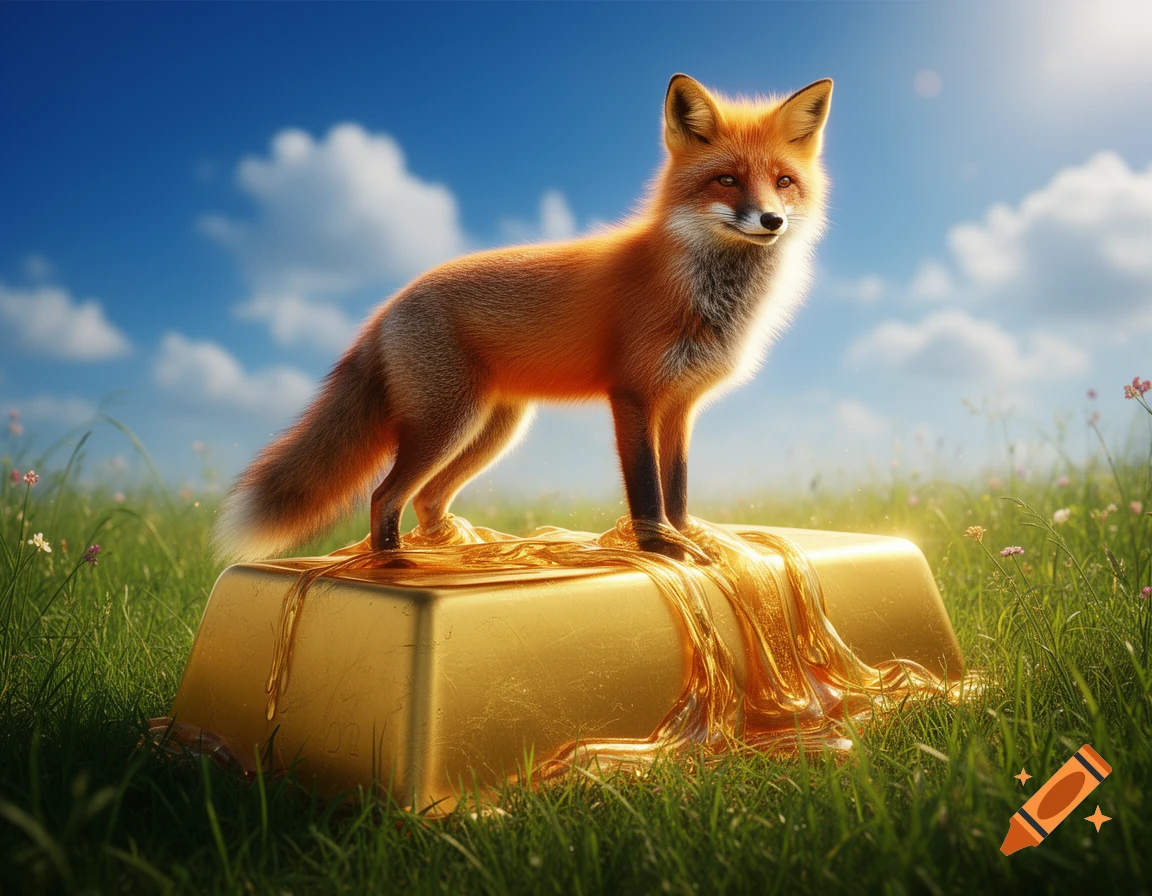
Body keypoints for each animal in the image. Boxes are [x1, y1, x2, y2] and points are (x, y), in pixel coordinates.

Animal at [214, 74, 832, 563]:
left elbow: (676, 491)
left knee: (425, 499)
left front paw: (691, 542)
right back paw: (396, 567)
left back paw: (460, 549)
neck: (702, 290)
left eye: (783, 181)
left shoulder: (680, 405)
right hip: (447, 424)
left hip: (493, 429)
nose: (772, 220)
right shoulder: (632, 394)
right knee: (384, 496)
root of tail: (390, 305)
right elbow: (646, 491)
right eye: (726, 179)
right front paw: (660, 549)